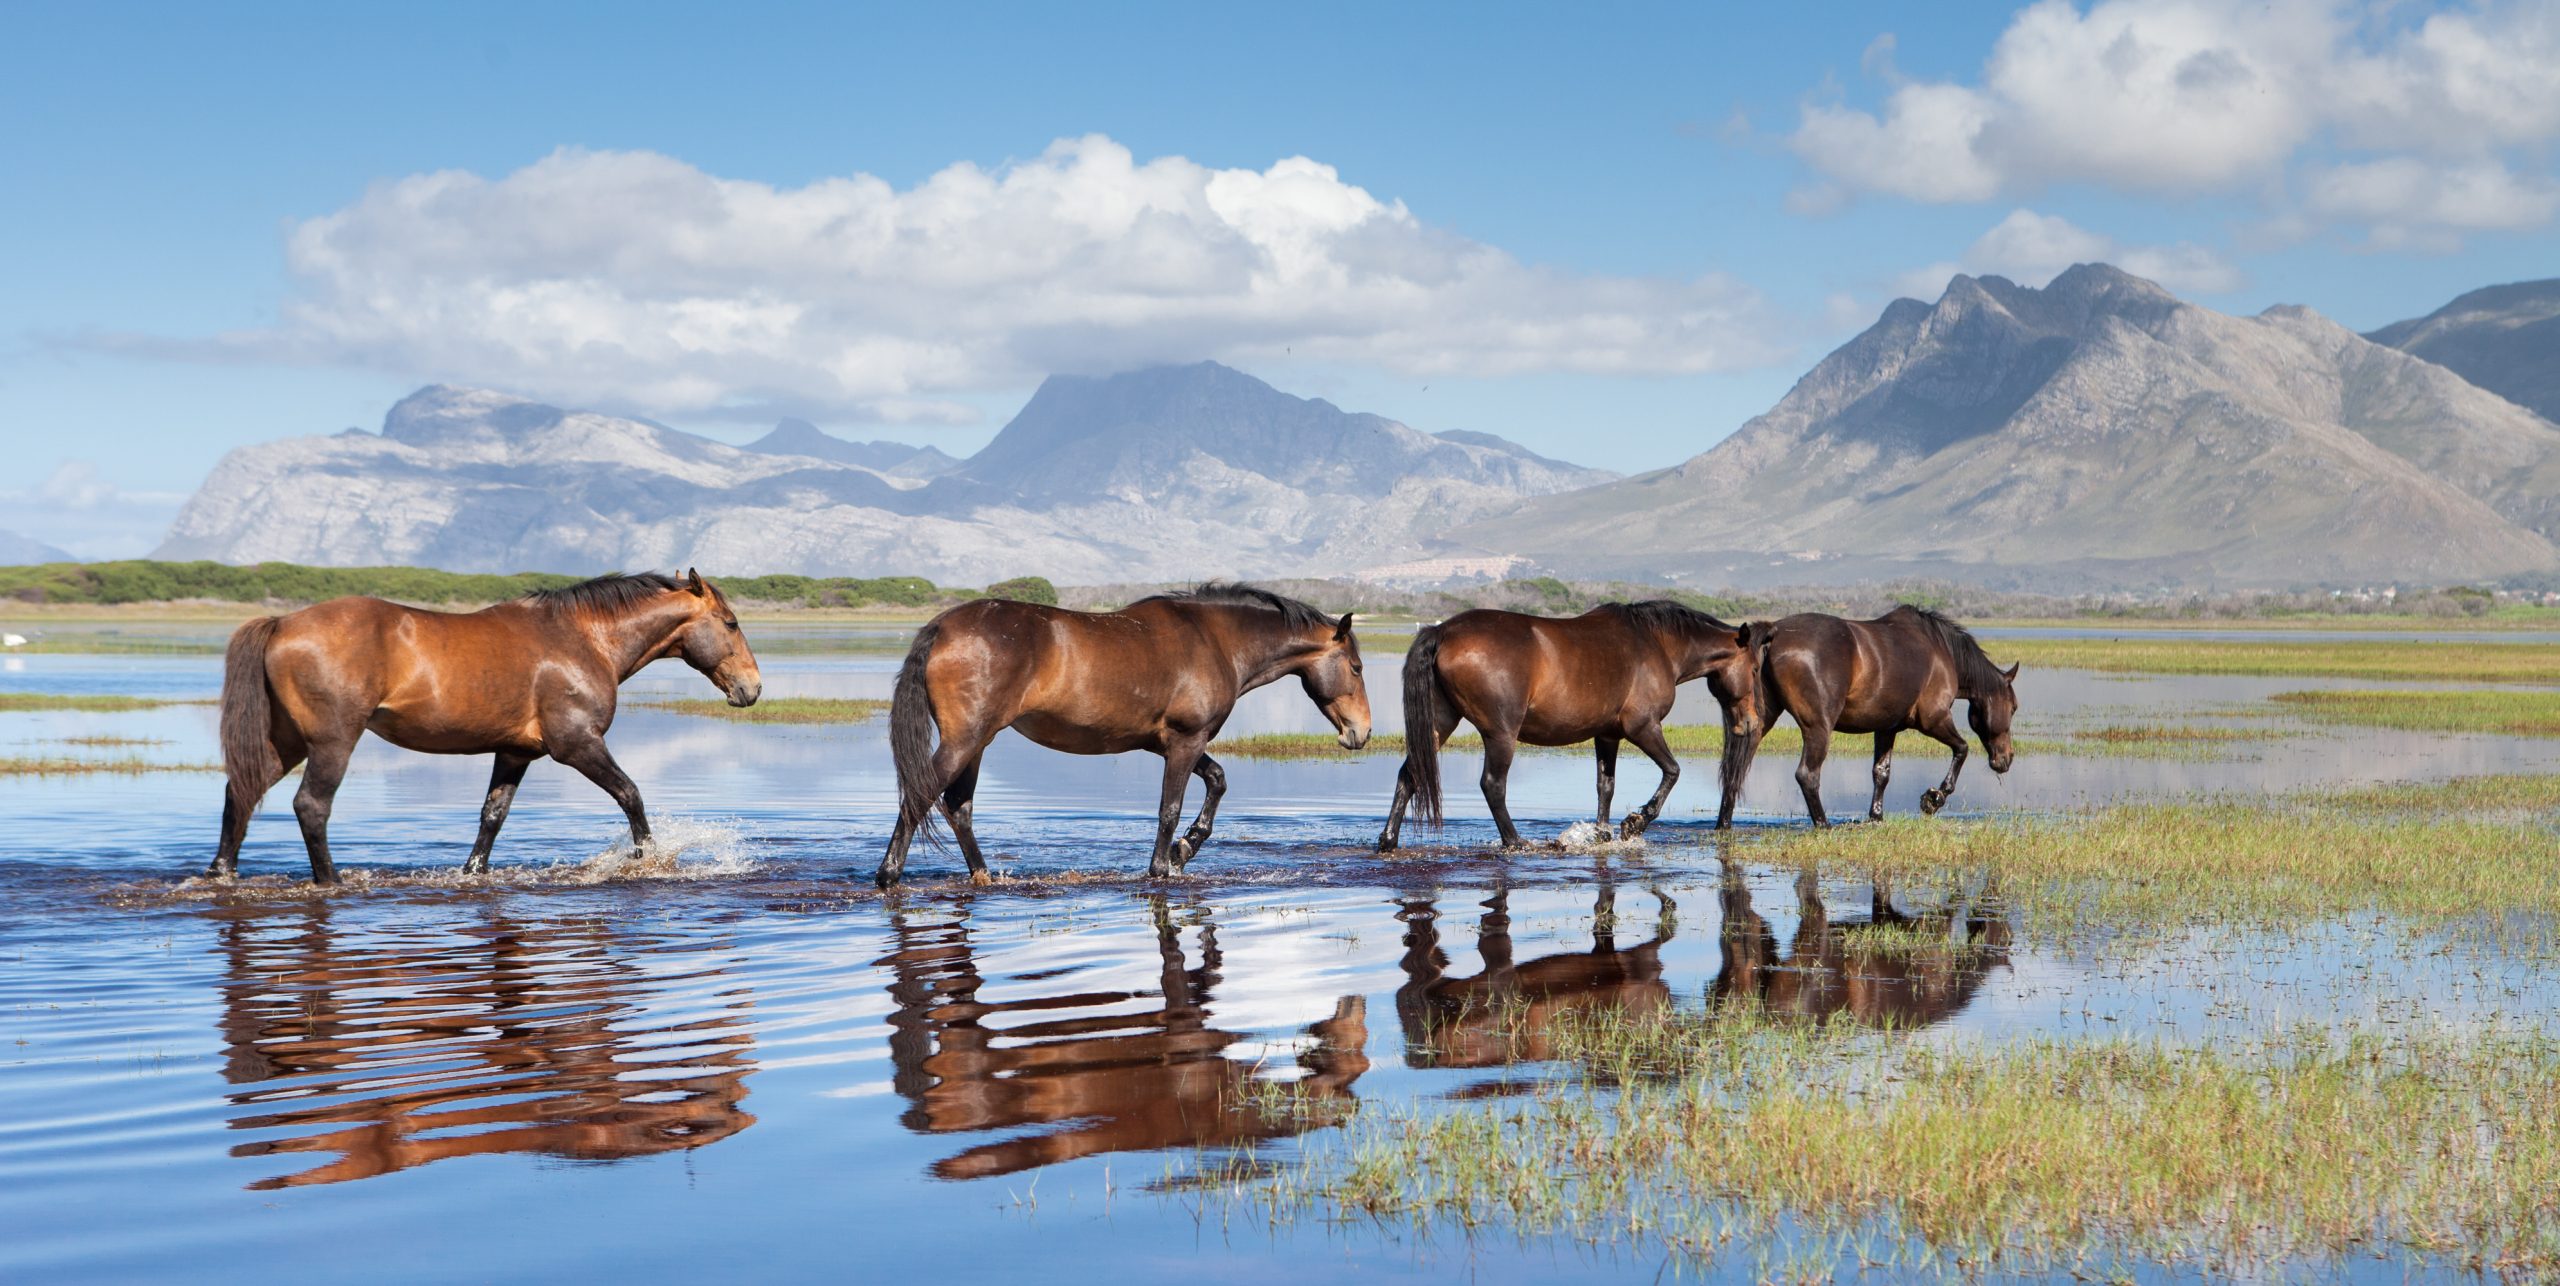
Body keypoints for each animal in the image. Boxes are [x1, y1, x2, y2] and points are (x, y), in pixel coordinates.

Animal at [211, 570, 762, 884]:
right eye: (731, 622)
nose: (752, 688)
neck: (584, 640)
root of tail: (282, 622)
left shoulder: (515, 753)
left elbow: (492, 817)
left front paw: (471, 873)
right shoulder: (577, 745)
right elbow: (631, 795)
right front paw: (648, 862)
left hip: (286, 742)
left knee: (241, 793)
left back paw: (222, 873)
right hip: (332, 742)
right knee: (311, 806)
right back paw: (331, 881)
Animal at [876, 583, 1371, 887]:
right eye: (1356, 667)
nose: (1361, 731)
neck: (1215, 640)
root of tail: (942, 626)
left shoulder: (1171, 744)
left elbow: (1217, 780)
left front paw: (1185, 849)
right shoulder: (1186, 741)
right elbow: (1170, 808)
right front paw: (1163, 866)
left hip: (977, 743)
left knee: (958, 806)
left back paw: (983, 875)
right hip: (964, 740)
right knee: (921, 796)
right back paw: (888, 875)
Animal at [1375, 601, 1770, 851]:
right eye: (1754, 669)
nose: (1751, 722)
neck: (1657, 644)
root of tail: (1442, 631)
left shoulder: (1607, 735)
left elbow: (1605, 787)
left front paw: (1602, 834)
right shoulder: (1643, 727)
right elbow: (1672, 771)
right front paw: (1635, 822)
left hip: (1440, 724)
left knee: (1410, 774)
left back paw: (1388, 840)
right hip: (1501, 734)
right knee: (1493, 785)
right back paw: (1516, 842)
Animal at [1735, 605, 2018, 826]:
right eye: (2013, 707)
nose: (2006, 758)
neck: (1940, 651)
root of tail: (1776, 631)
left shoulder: (1886, 727)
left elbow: (1881, 772)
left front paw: (1876, 816)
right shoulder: (1934, 719)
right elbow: (1962, 748)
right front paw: (1934, 798)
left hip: (1759, 723)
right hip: (1818, 729)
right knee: (1807, 775)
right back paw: (1824, 825)